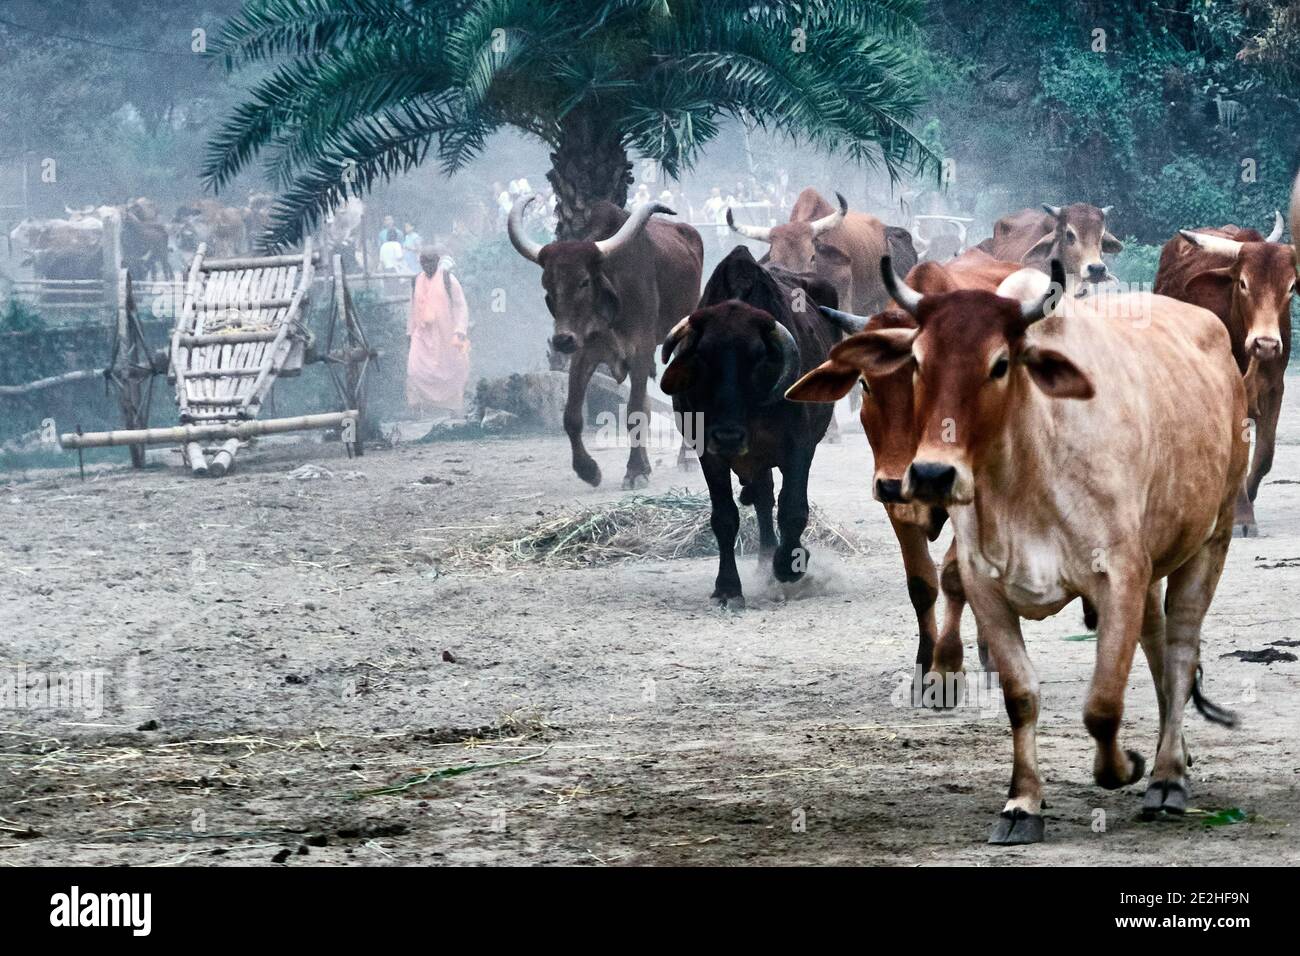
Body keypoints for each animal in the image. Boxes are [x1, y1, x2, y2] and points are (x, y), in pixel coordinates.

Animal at [508, 197, 703, 488]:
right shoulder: (583, 353)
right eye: (547, 285)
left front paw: (635, 471)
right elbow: (572, 415)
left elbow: (635, 411)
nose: (562, 339)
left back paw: (686, 458)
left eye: (584, 281)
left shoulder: (641, 350)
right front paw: (588, 469)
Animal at [658, 246, 845, 607]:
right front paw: (728, 587)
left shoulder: (799, 446)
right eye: (702, 357)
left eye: (757, 357)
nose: (728, 435)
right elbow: (725, 516)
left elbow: (793, 508)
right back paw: (763, 561)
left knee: (771, 499)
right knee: (762, 499)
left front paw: (790, 566)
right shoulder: (709, 452)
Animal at [786, 247, 1027, 704]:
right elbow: (922, 584)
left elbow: (954, 577)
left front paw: (949, 671)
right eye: (865, 383)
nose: (893, 482)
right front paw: (923, 668)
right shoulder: (894, 504)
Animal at [1153, 212, 1291, 535]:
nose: (1266, 344)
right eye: (1243, 283)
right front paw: (1242, 516)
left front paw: (1247, 498)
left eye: (1291, 288)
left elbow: (1264, 455)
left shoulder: (1275, 388)